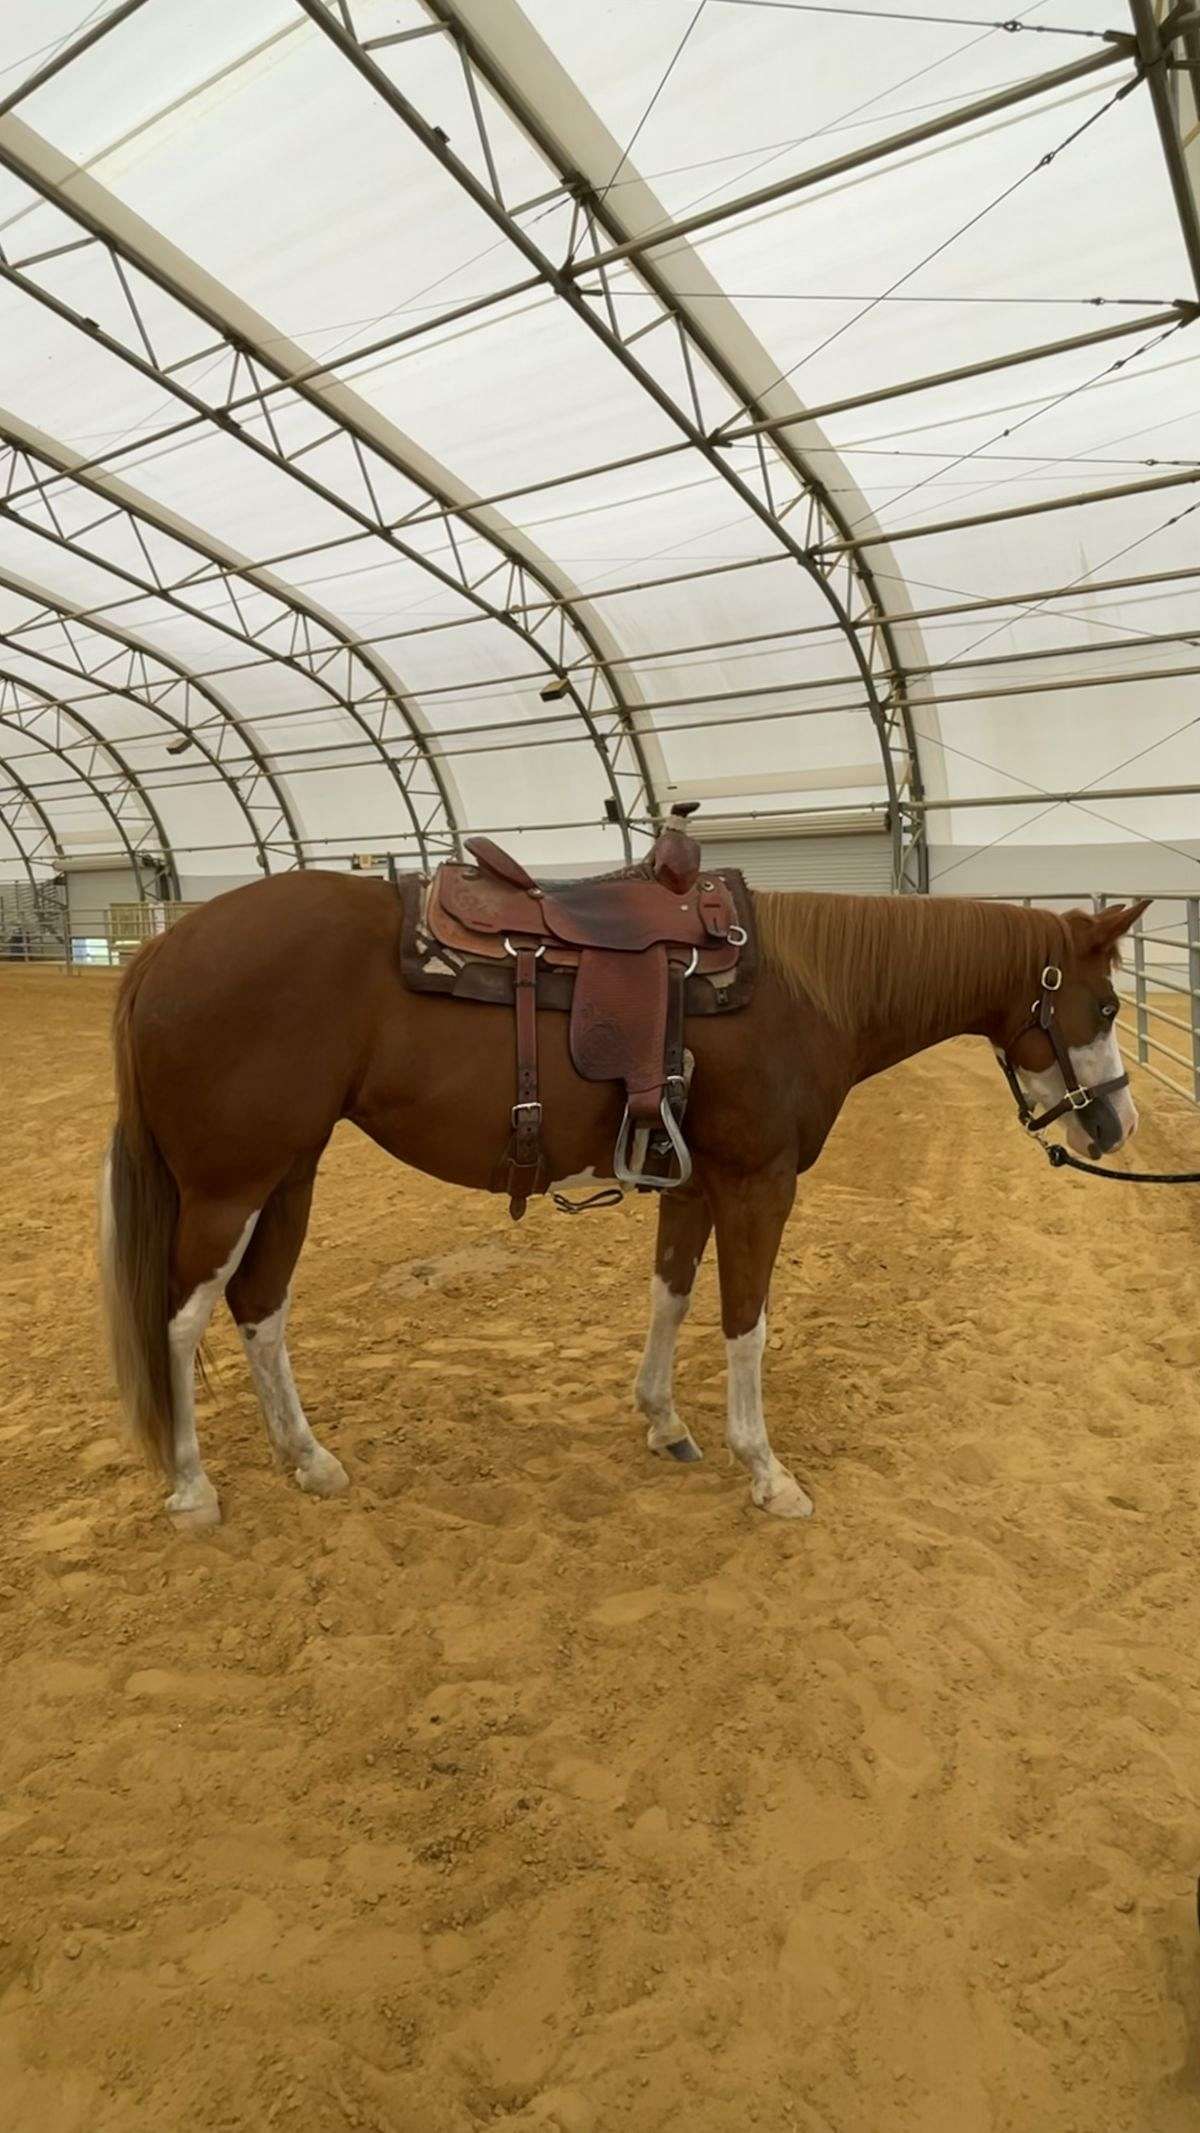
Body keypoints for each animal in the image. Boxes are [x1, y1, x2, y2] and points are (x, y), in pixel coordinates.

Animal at [99, 871, 1148, 1531]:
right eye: (1103, 1005)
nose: (1116, 1125)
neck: (807, 988)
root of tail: (163, 951)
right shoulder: (759, 1182)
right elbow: (746, 1322)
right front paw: (766, 1472)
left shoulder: (696, 1181)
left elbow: (670, 1295)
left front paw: (663, 1421)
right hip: (229, 1188)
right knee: (180, 1321)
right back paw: (191, 1487)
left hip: (290, 1175)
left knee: (259, 1308)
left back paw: (308, 1459)